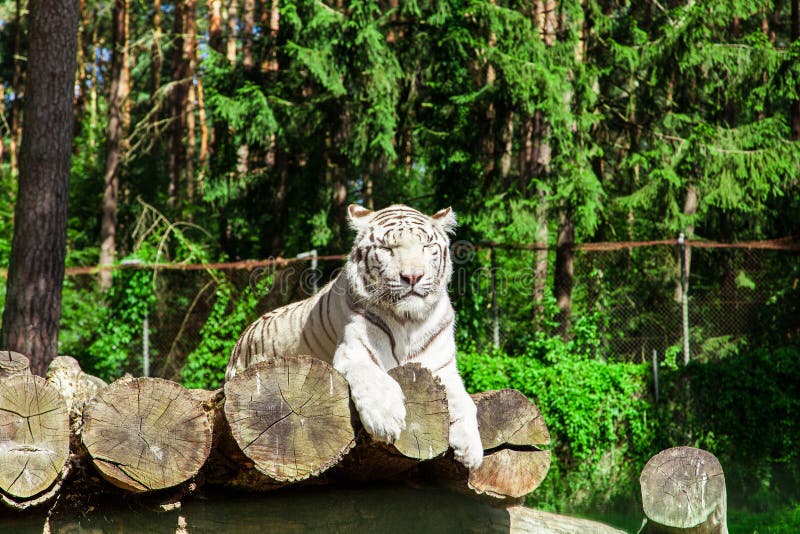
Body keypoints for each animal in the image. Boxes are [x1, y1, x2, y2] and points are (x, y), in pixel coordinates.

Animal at [226, 204, 484, 469]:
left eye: (426, 246)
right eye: (387, 248)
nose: (413, 277)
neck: (409, 320)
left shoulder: (443, 368)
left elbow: (465, 402)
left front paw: (472, 451)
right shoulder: (355, 352)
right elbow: (374, 380)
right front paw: (386, 420)